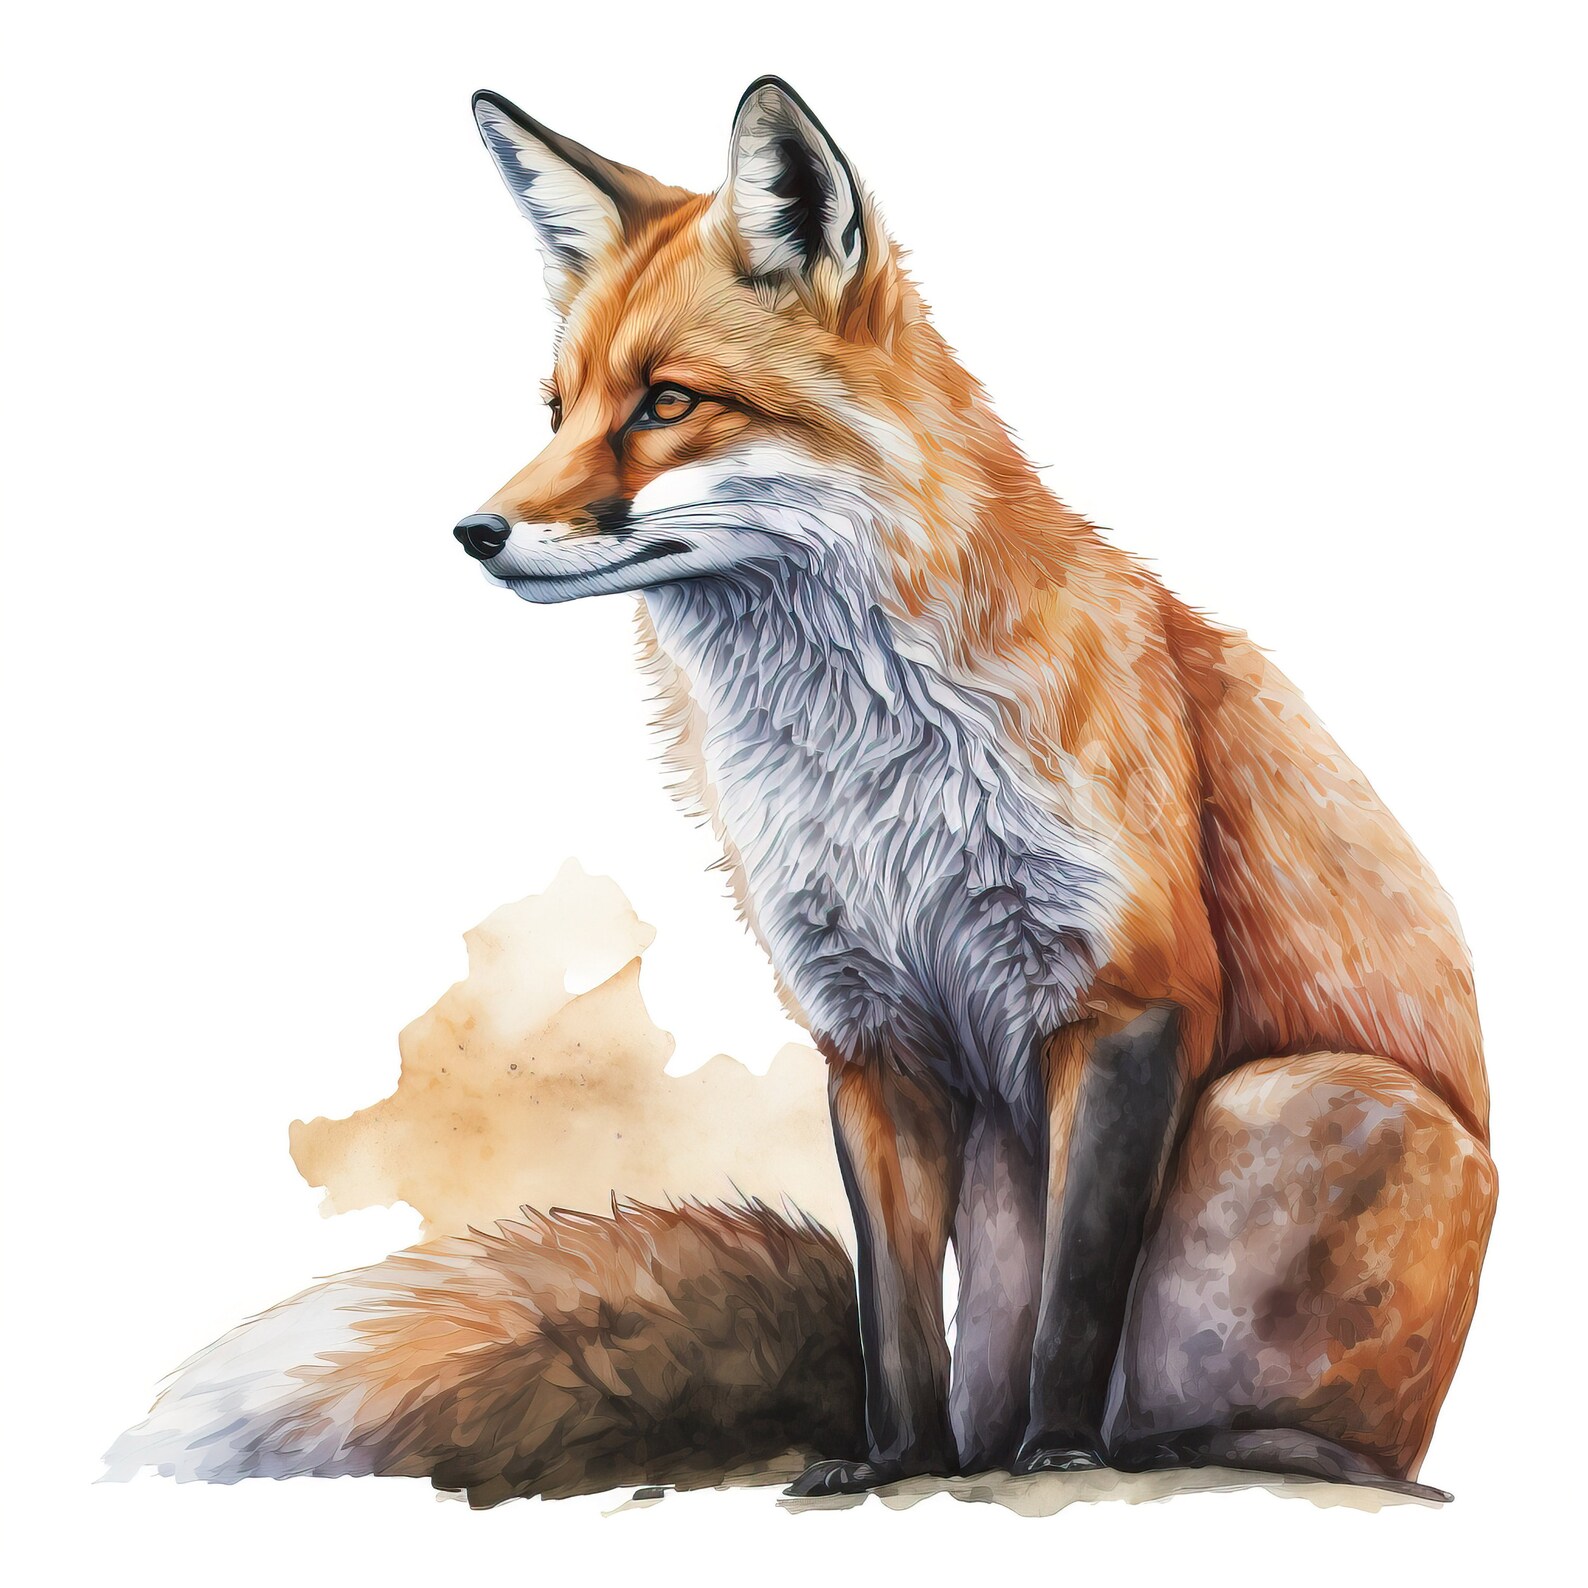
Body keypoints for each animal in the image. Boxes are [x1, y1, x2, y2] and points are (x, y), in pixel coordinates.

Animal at [108, 78, 1495, 1506]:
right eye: (555, 408)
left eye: (666, 402)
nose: (474, 533)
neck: (870, 771)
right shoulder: (867, 1030)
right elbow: (891, 1312)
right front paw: (888, 1461)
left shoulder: (1131, 997)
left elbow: (1080, 1297)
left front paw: (1058, 1447)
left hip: (1296, 1099)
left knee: (1305, 1434)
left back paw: (1189, 1444)